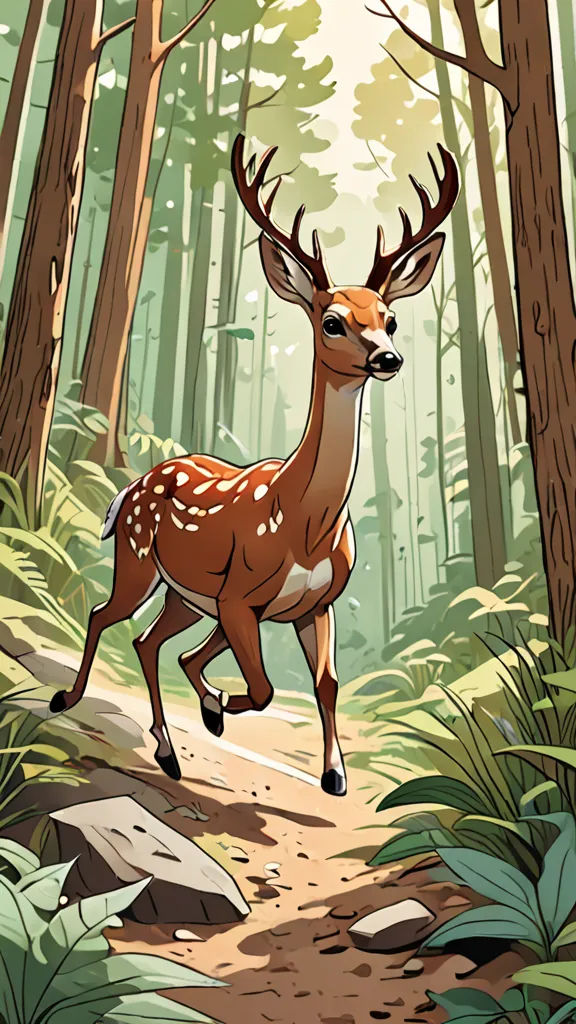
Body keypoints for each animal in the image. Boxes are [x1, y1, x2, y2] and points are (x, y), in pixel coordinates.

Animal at [50, 134, 458, 796]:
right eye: (331, 321)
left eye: (390, 319)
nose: (389, 358)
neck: (304, 525)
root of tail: (129, 489)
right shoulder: (241, 599)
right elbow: (263, 688)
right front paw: (217, 709)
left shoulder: (316, 604)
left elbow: (324, 683)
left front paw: (334, 775)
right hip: (138, 560)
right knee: (104, 615)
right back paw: (70, 700)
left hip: (185, 595)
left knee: (150, 641)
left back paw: (168, 750)